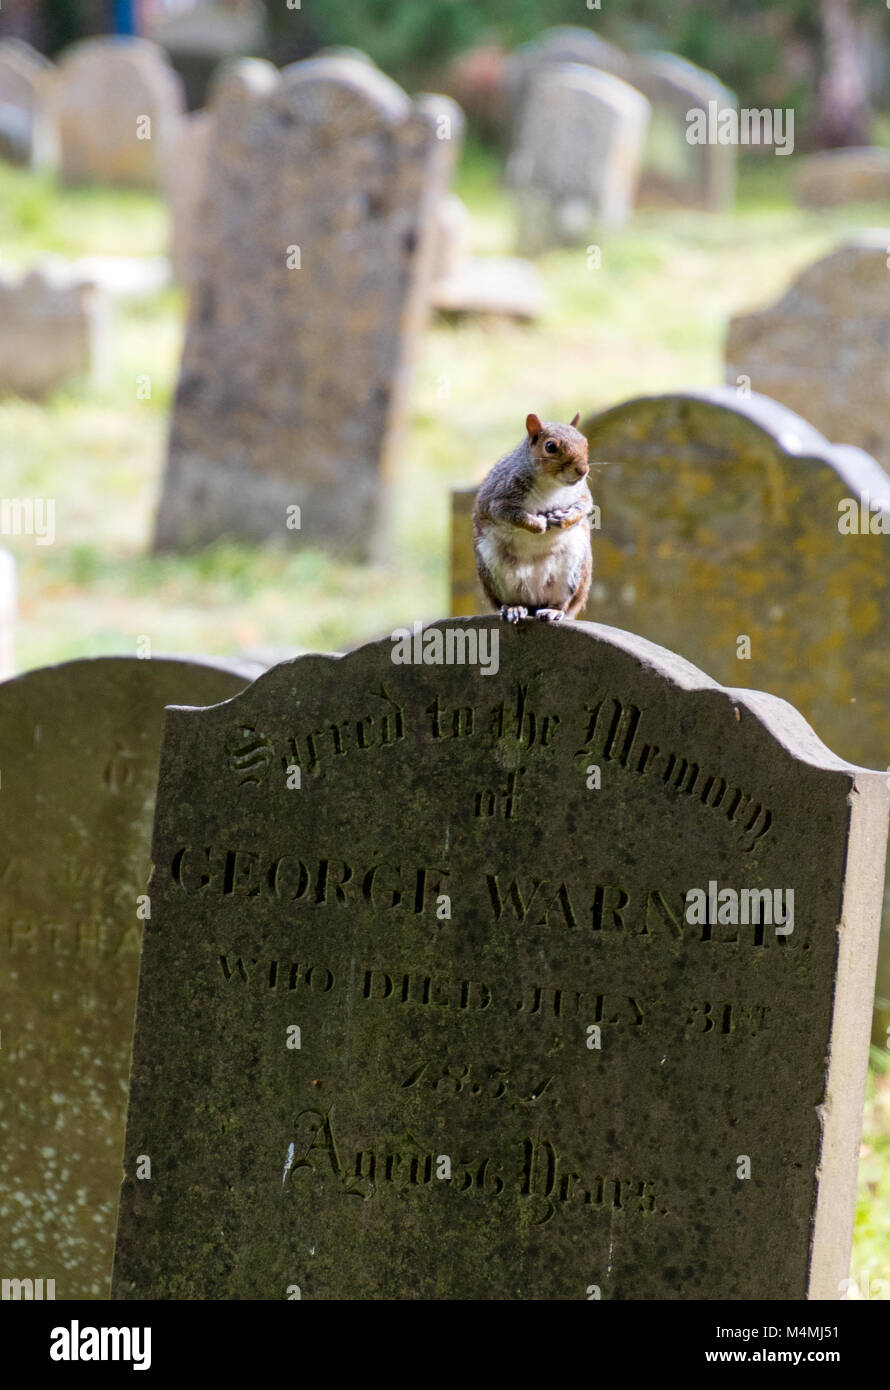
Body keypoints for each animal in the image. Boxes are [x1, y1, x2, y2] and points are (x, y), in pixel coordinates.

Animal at [473, 412, 593, 624]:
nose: (582, 470)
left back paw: (554, 610)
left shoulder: (583, 494)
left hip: (573, 571)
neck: (551, 485)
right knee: (510, 600)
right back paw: (514, 609)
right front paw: (537, 524)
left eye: (585, 443)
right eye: (550, 446)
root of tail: (535, 601)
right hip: (495, 573)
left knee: (562, 602)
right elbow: (509, 515)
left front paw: (565, 518)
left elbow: (584, 507)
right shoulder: (499, 497)